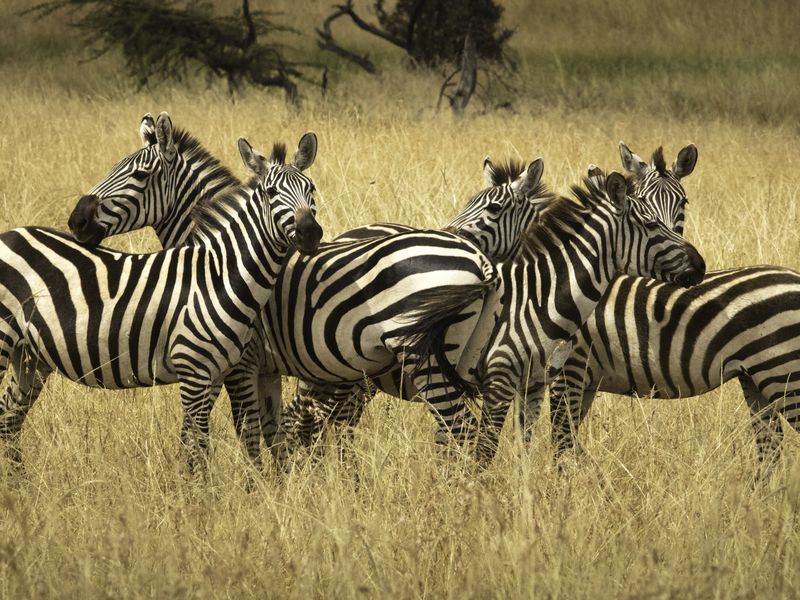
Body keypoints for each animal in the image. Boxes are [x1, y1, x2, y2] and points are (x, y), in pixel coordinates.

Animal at [0, 112, 322, 474]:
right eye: (269, 192)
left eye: (140, 174)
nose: (77, 220)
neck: (217, 268)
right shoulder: (228, 369)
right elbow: (229, 436)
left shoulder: (233, 368)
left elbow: (240, 435)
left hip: (29, 356)